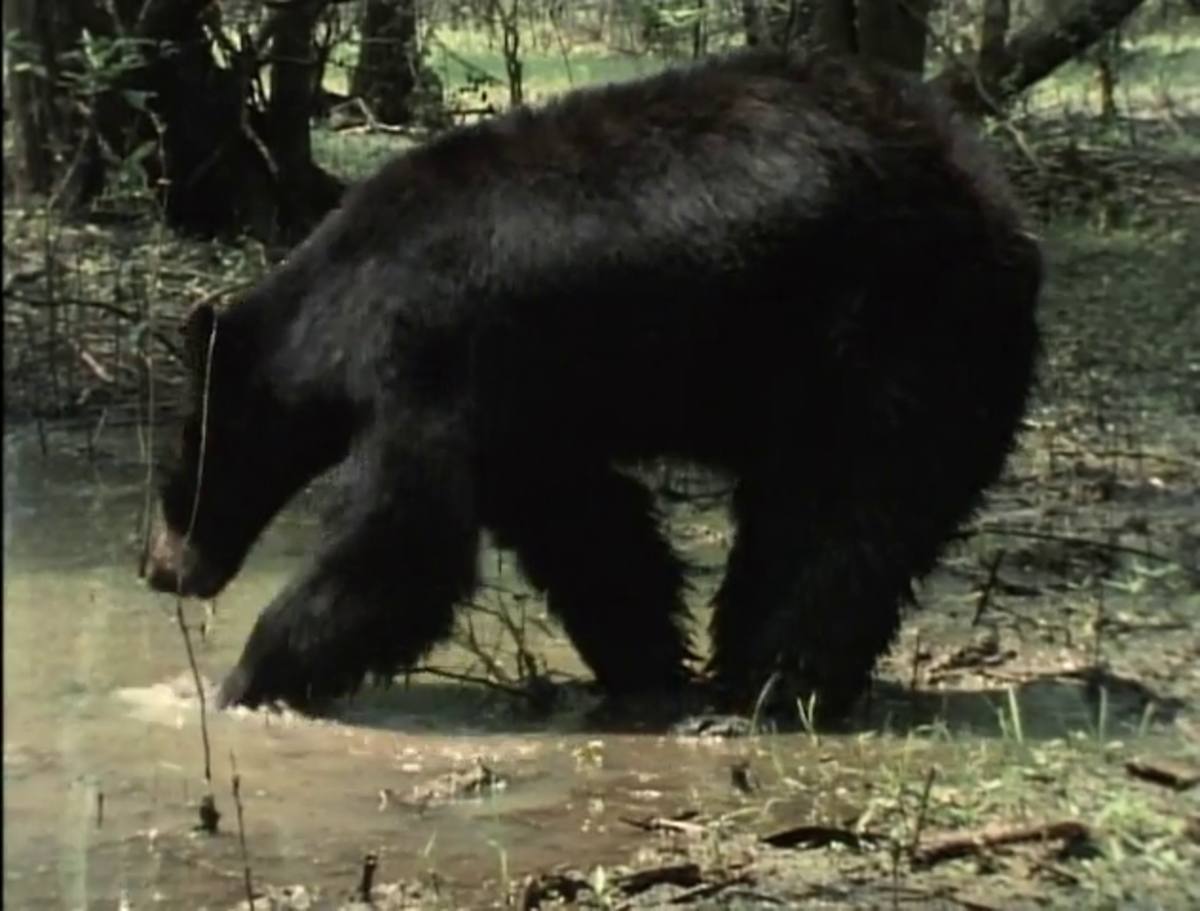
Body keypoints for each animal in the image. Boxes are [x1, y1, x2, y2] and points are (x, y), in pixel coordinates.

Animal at [142, 48, 1043, 724]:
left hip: (896, 327)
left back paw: (777, 685)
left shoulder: (428, 357)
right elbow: (583, 524)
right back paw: (743, 670)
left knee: (846, 506)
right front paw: (643, 664)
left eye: (181, 461)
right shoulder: (520, 409)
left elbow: (404, 537)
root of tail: (1003, 207)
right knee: (794, 512)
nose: (158, 569)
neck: (340, 305)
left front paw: (241, 679)